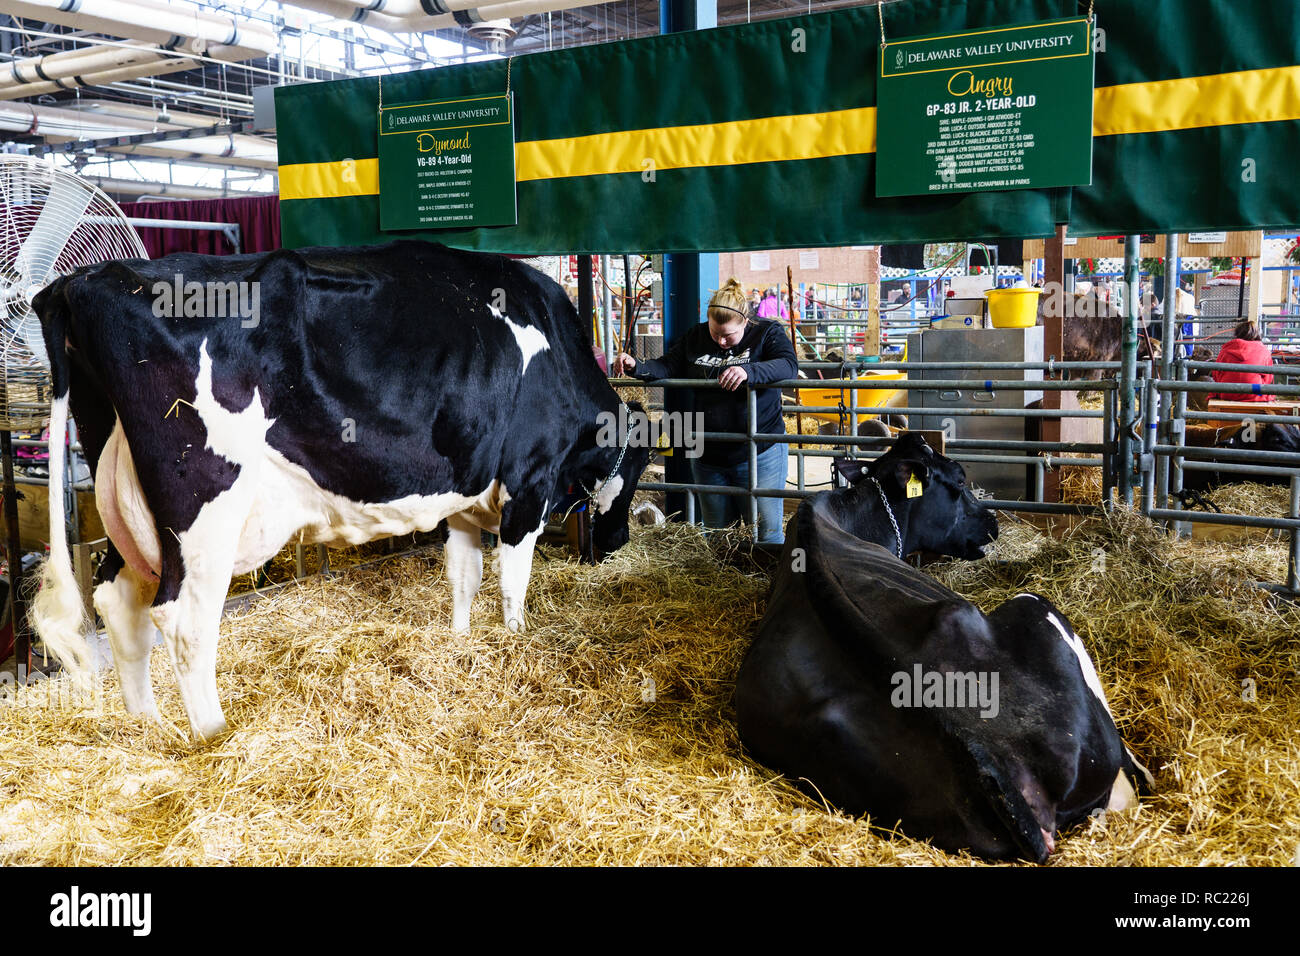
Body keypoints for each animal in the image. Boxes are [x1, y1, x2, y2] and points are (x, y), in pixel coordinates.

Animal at [30, 240, 650, 741]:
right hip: (204, 508)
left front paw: (461, 642)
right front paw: (515, 641)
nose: (618, 539)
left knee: (118, 602)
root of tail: (83, 280)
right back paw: (213, 735)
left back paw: (149, 725)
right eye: (643, 462)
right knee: (185, 621)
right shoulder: (528, 481)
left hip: (127, 505)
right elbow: (512, 583)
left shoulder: (464, 495)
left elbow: (464, 576)